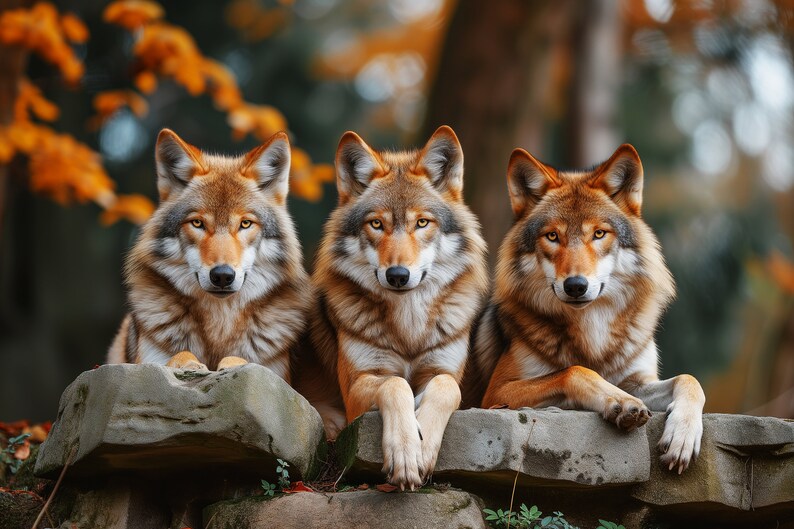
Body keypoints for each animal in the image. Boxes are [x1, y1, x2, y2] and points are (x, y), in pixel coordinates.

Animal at [107, 129, 311, 378]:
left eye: (245, 224)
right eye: (197, 223)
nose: (222, 275)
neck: (219, 326)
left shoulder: (275, 374)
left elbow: (242, 360)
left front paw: (231, 364)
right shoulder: (148, 361)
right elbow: (179, 355)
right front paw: (190, 365)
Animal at [294, 126, 489, 490]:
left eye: (422, 223)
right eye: (376, 224)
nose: (398, 275)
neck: (408, 326)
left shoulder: (443, 372)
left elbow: (446, 388)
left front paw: (423, 446)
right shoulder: (356, 388)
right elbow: (396, 385)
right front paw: (407, 452)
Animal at [466, 144, 705, 474]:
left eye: (599, 234)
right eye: (553, 236)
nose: (576, 285)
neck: (592, 329)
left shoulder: (637, 381)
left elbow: (690, 379)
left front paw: (682, 436)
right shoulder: (496, 393)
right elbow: (574, 370)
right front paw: (618, 402)